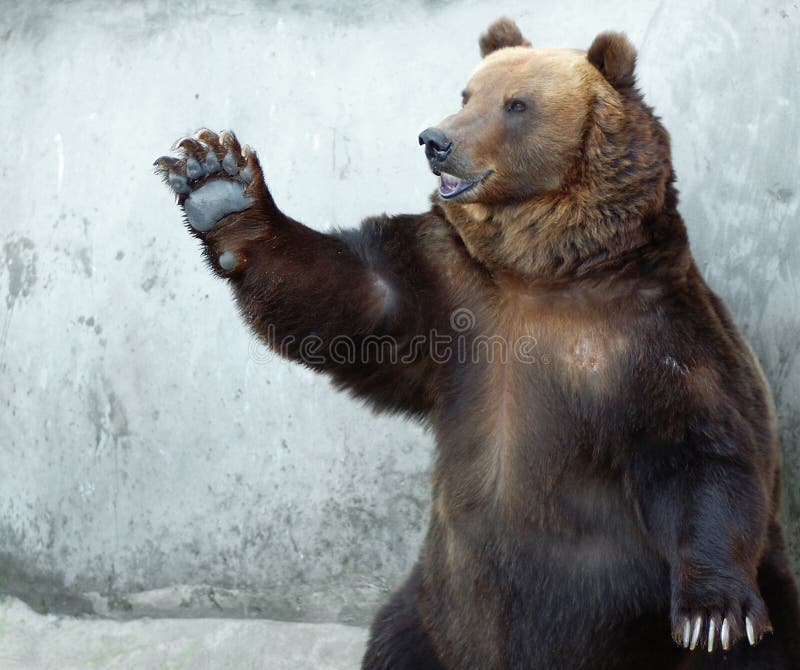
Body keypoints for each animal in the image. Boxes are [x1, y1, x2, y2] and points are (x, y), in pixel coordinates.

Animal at [154, 17, 800, 670]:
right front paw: (216, 181)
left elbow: (704, 446)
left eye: (516, 104)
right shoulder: (452, 296)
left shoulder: (650, 328)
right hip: (434, 610)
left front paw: (712, 614)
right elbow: (352, 295)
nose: (434, 139)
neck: (543, 270)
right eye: (467, 94)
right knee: (395, 639)